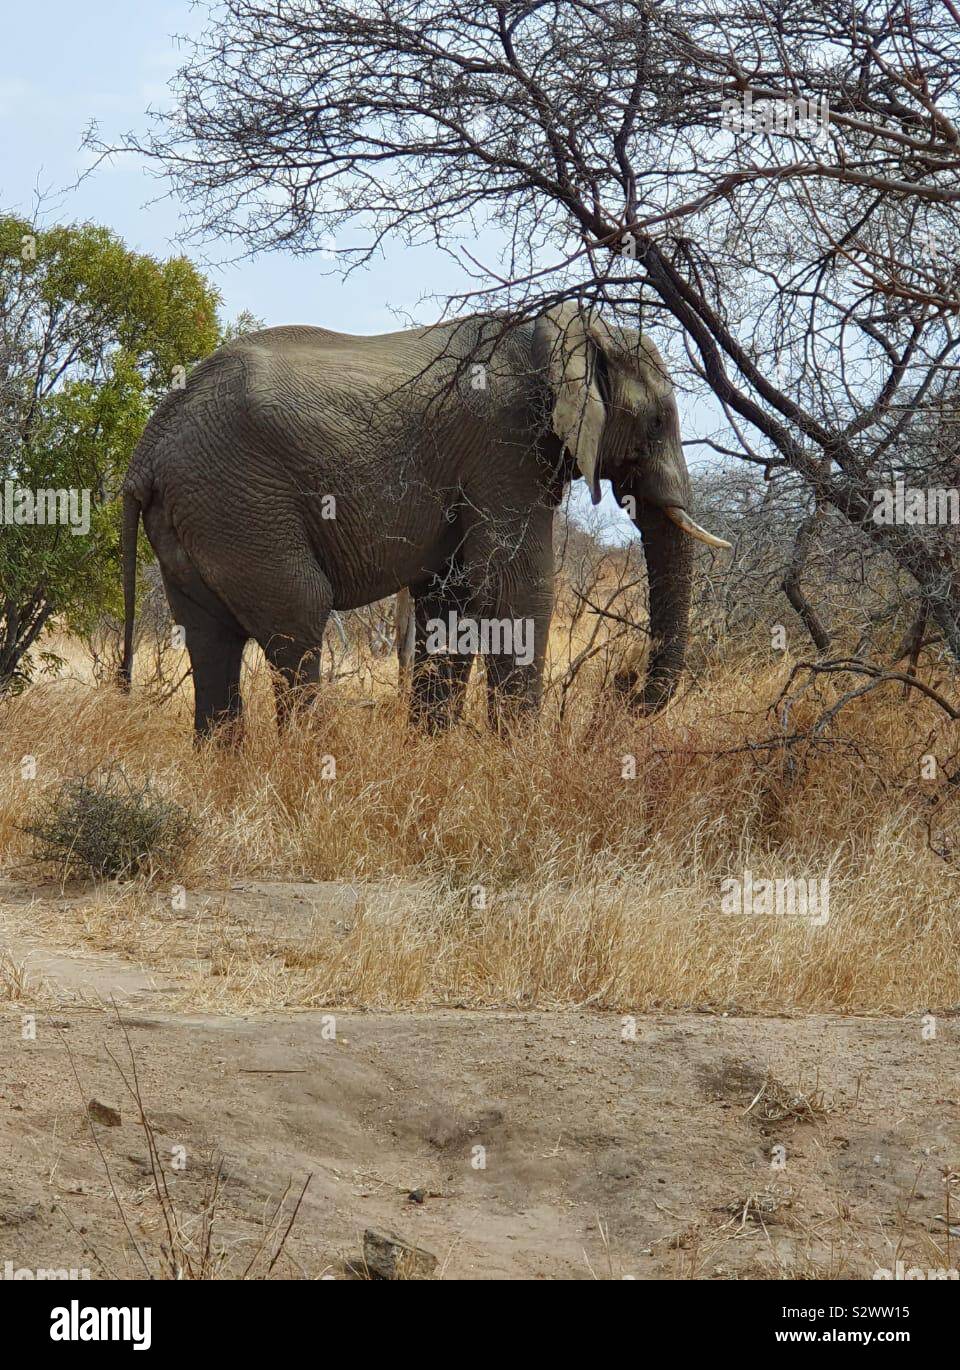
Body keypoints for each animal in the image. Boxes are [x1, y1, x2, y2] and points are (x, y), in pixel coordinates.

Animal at [119, 303, 729, 736]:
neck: (565, 332)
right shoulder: (503, 450)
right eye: (658, 421)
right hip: (240, 503)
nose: (626, 690)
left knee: (209, 640)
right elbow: (515, 587)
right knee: (299, 616)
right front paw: (518, 757)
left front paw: (433, 749)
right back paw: (307, 760)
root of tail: (145, 451)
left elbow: (451, 596)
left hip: (199, 511)